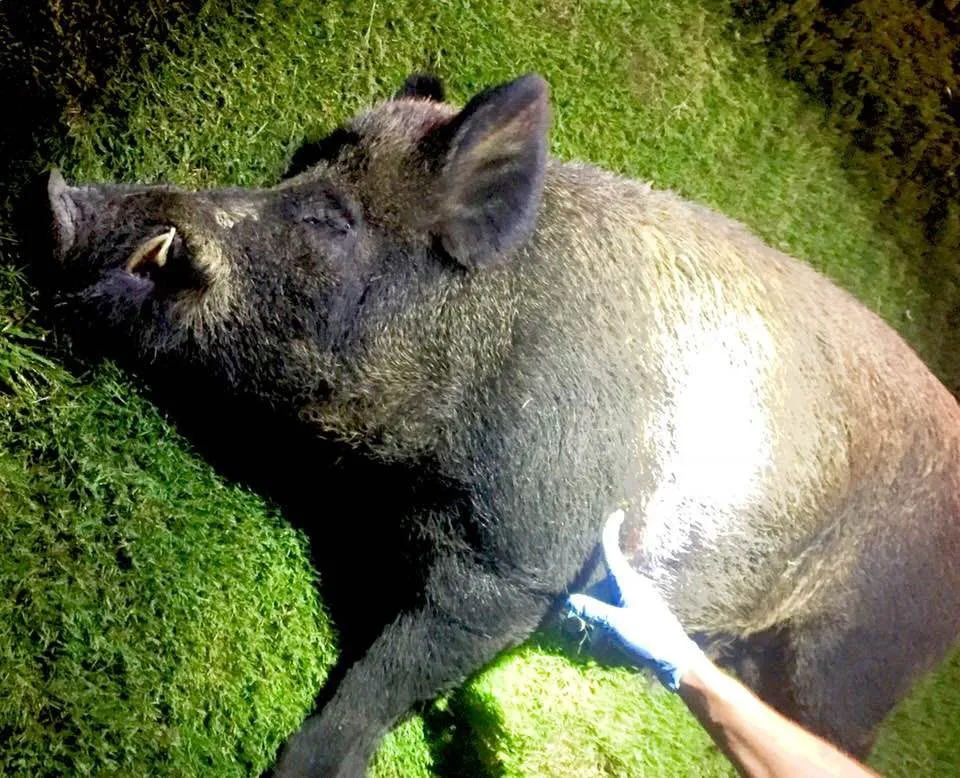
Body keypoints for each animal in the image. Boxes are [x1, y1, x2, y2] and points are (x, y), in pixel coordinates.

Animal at [38, 73, 960, 777]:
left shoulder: (514, 567)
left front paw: (302, 765)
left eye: (331, 219)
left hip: (863, 654)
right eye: (291, 179)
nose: (52, 192)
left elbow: (393, 673)